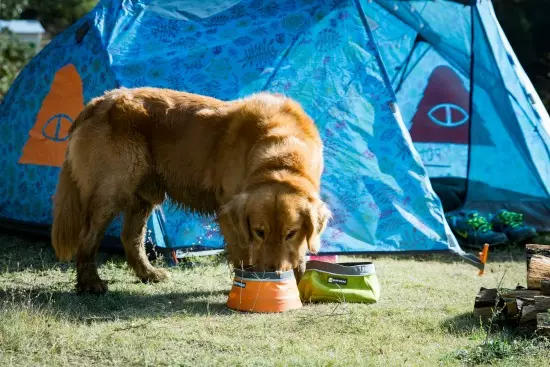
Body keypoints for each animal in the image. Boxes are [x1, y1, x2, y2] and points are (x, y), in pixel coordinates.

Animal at [52, 85, 332, 294]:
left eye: (291, 233)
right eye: (259, 232)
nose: (273, 273)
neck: (281, 155)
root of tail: (99, 101)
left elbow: (300, 252)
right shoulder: (230, 215)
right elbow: (243, 253)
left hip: (144, 196)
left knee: (130, 237)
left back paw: (148, 273)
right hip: (110, 191)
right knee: (88, 237)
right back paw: (90, 283)